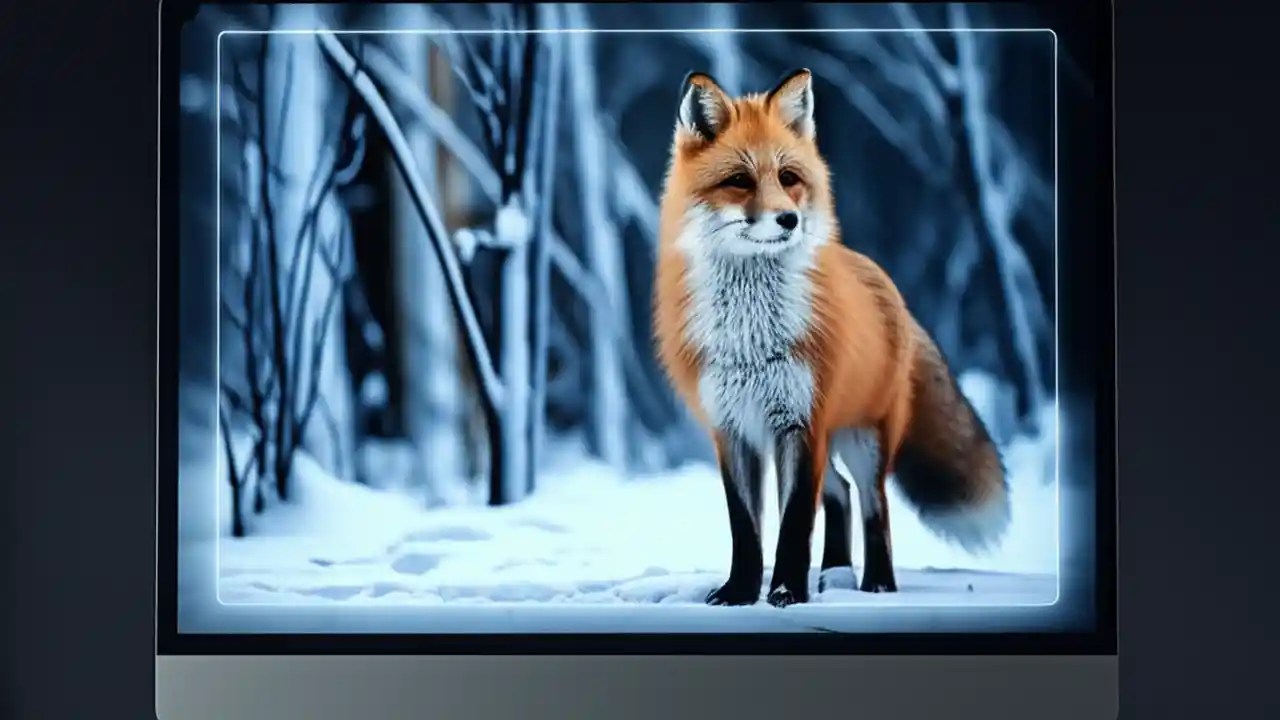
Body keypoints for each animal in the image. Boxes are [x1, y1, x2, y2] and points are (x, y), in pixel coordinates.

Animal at [653, 68, 1011, 608]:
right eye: (739, 181)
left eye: (788, 178)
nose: (789, 219)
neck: (752, 335)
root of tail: (879, 277)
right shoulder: (733, 430)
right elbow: (746, 527)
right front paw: (740, 591)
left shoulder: (802, 422)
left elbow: (795, 522)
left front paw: (785, 591)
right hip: (827, 441)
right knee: (839, 494)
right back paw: (836, 573)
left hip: (865, 439)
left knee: (872, 504)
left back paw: (876, 583)